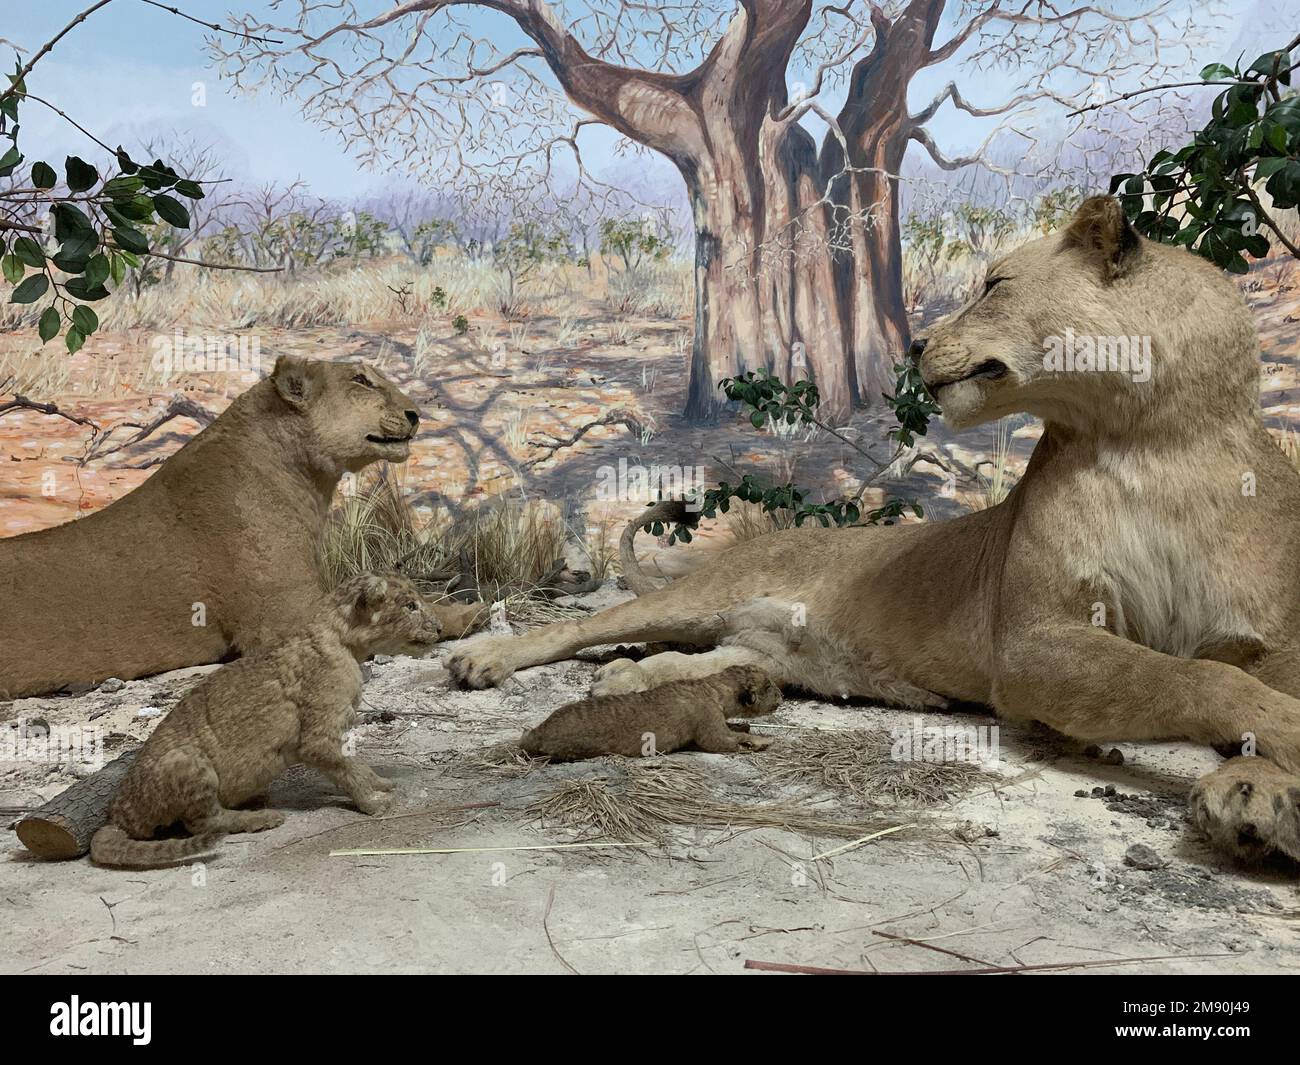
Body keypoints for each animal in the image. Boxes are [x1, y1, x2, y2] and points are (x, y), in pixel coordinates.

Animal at [448, 196, 1300, 865]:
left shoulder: (1268, 636)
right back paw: (485, 658)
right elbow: (1190, 676)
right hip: (697, 595)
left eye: (994, 284)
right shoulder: (1031, 641)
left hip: (756, 647)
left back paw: (625, 680)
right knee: (583, 629)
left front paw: (1256, 792)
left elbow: (1218, 674)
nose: (916, 344)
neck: (1155, 444)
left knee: (696, 662)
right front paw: (1279, 741)